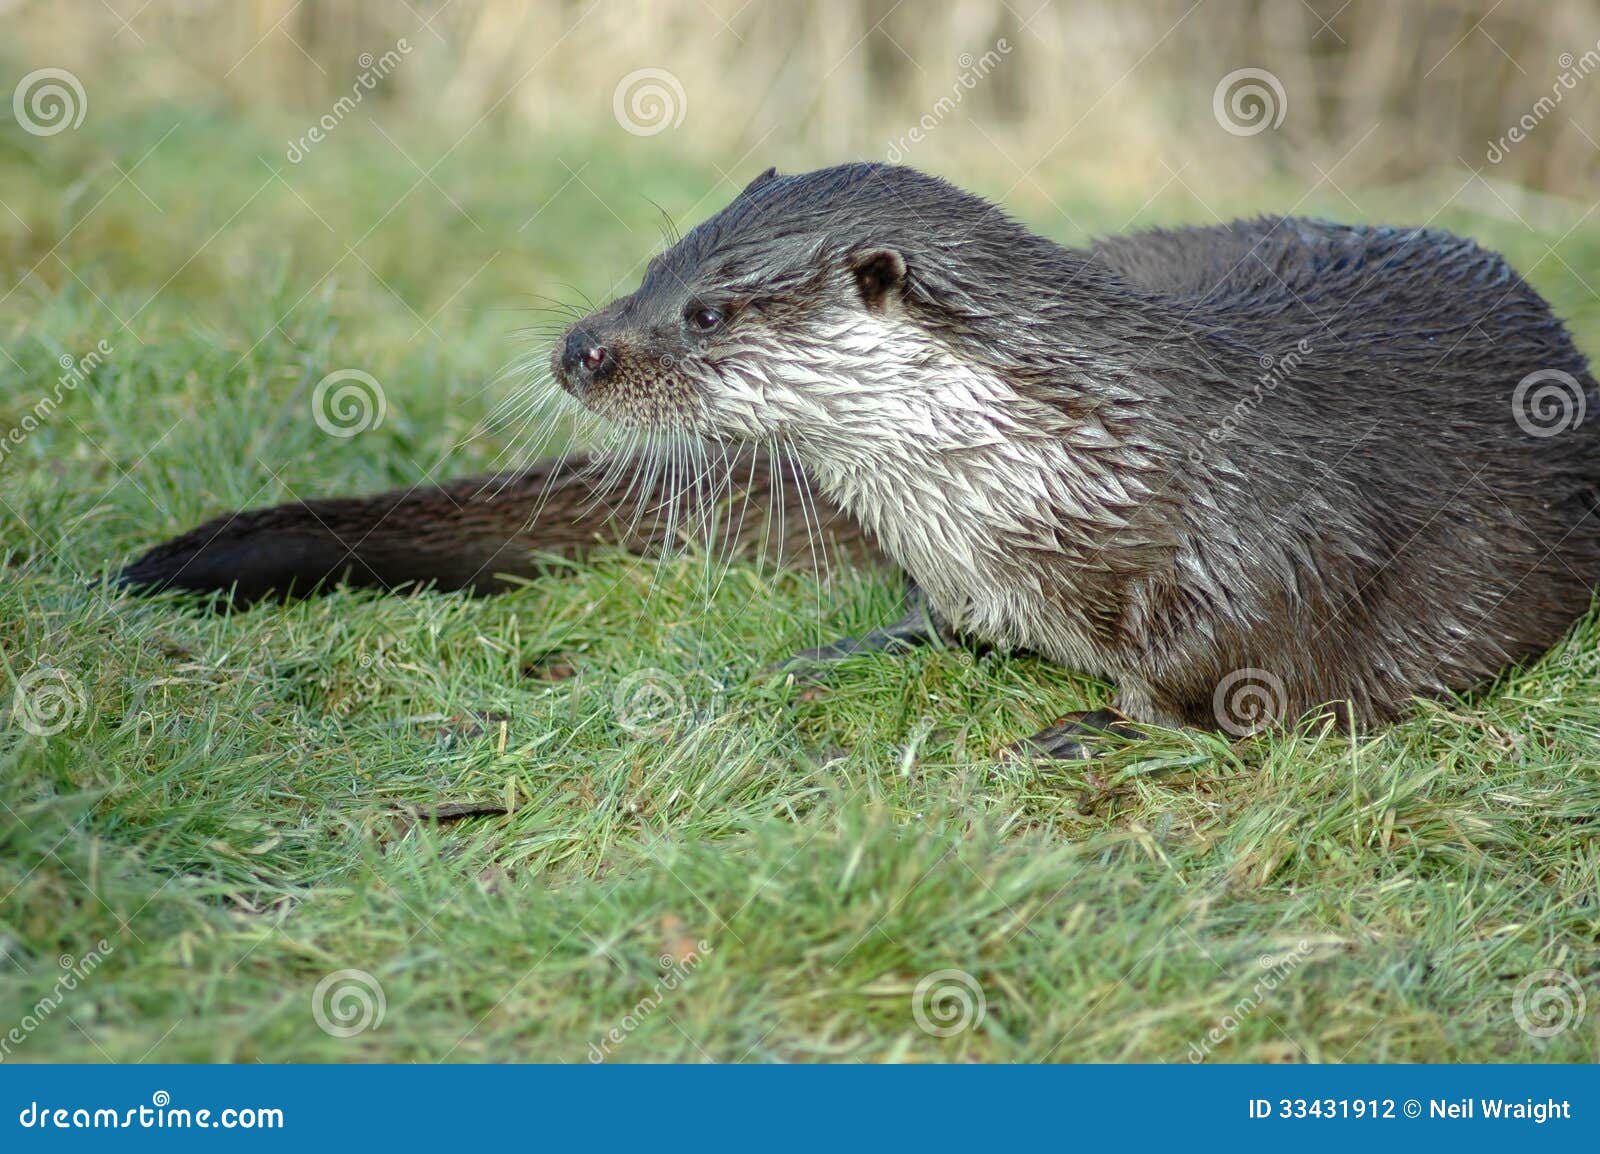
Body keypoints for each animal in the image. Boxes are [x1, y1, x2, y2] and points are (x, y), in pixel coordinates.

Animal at [117, 163, 1600, 757]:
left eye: (711, 311)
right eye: (655, 264)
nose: (582, 350)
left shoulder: (1267, 548)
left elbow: (1233, 688)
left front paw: (1098, 728)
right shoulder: (953, 560)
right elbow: (930, 618)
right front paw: (843, 649)